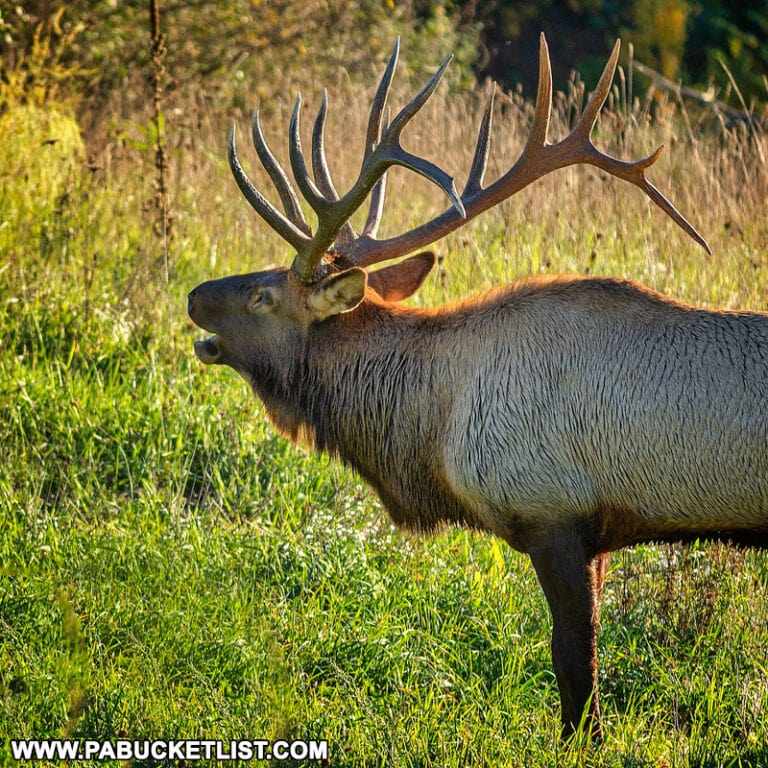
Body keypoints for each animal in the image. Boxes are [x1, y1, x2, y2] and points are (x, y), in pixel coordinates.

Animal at [187, 35, 768, 738]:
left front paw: (582, 741)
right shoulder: (595, 535)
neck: (433, 432)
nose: (193, 296)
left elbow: (575, 666)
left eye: (262, 296)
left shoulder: (553, 512)